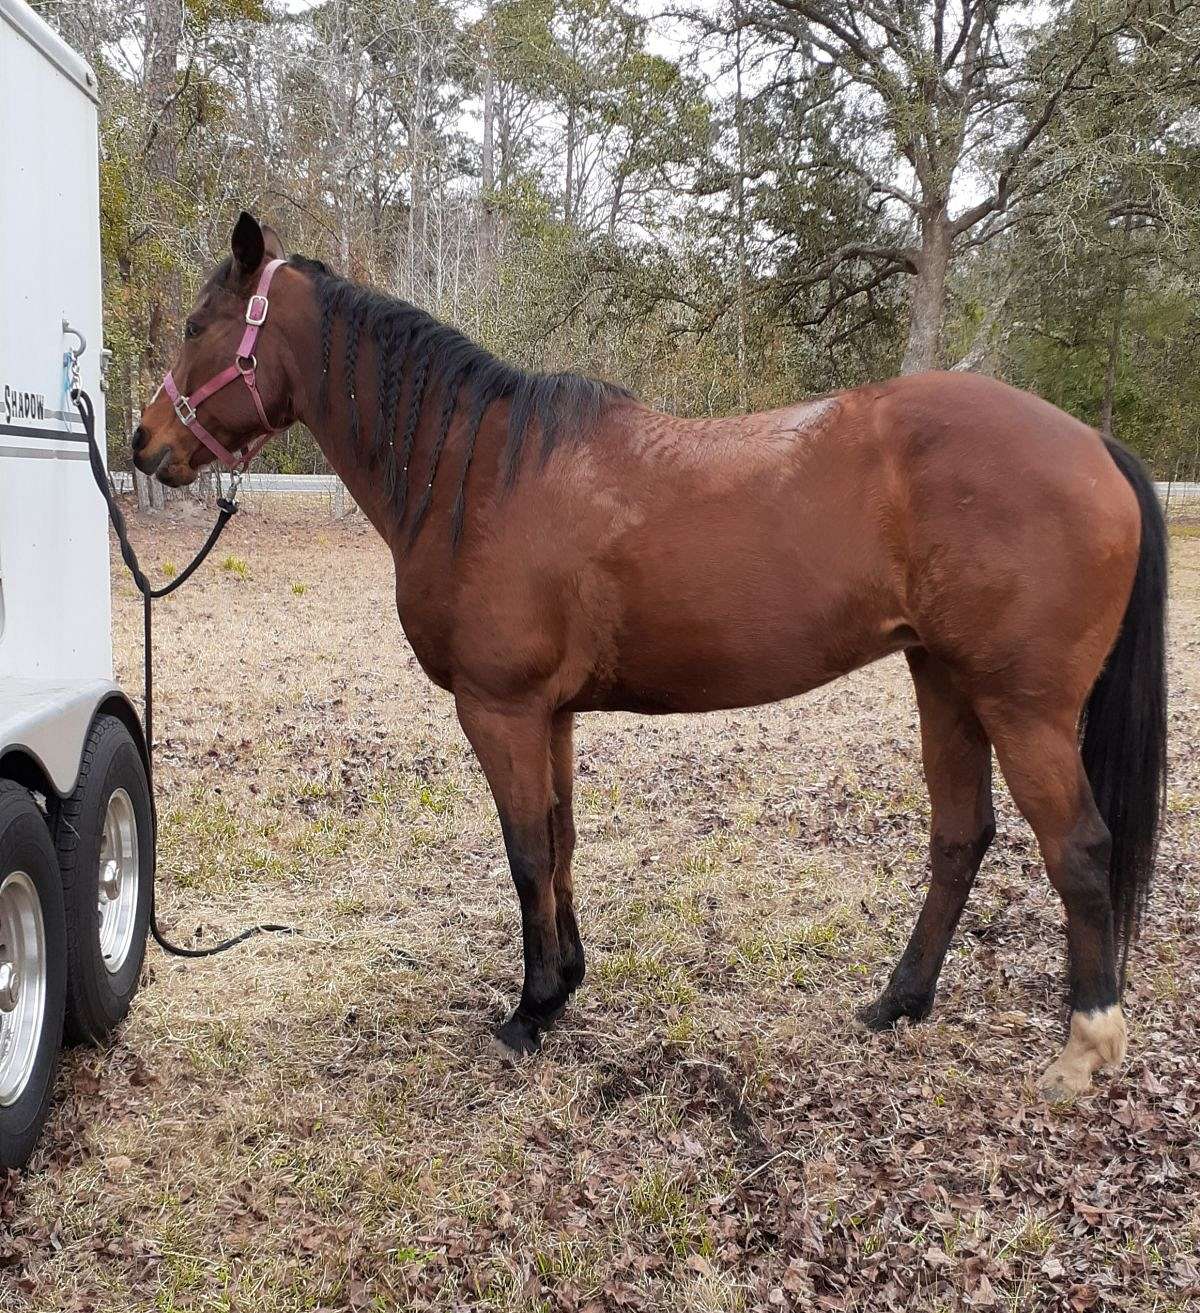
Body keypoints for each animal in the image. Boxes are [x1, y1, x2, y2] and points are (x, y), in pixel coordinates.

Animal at [133, 212, 1167, 1097]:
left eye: (198, 324)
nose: (146, 442)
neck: (481, 471)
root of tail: (1094, 446)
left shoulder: (499, 708)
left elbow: (523, 850)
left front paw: (529, 1011)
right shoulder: (548, 714)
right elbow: (559, 839)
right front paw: (565, 981)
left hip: (1020, 704)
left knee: (1077, 849)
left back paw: (1082, 1048)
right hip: (943, 679)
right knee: (961, 835)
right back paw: (897, 1001)